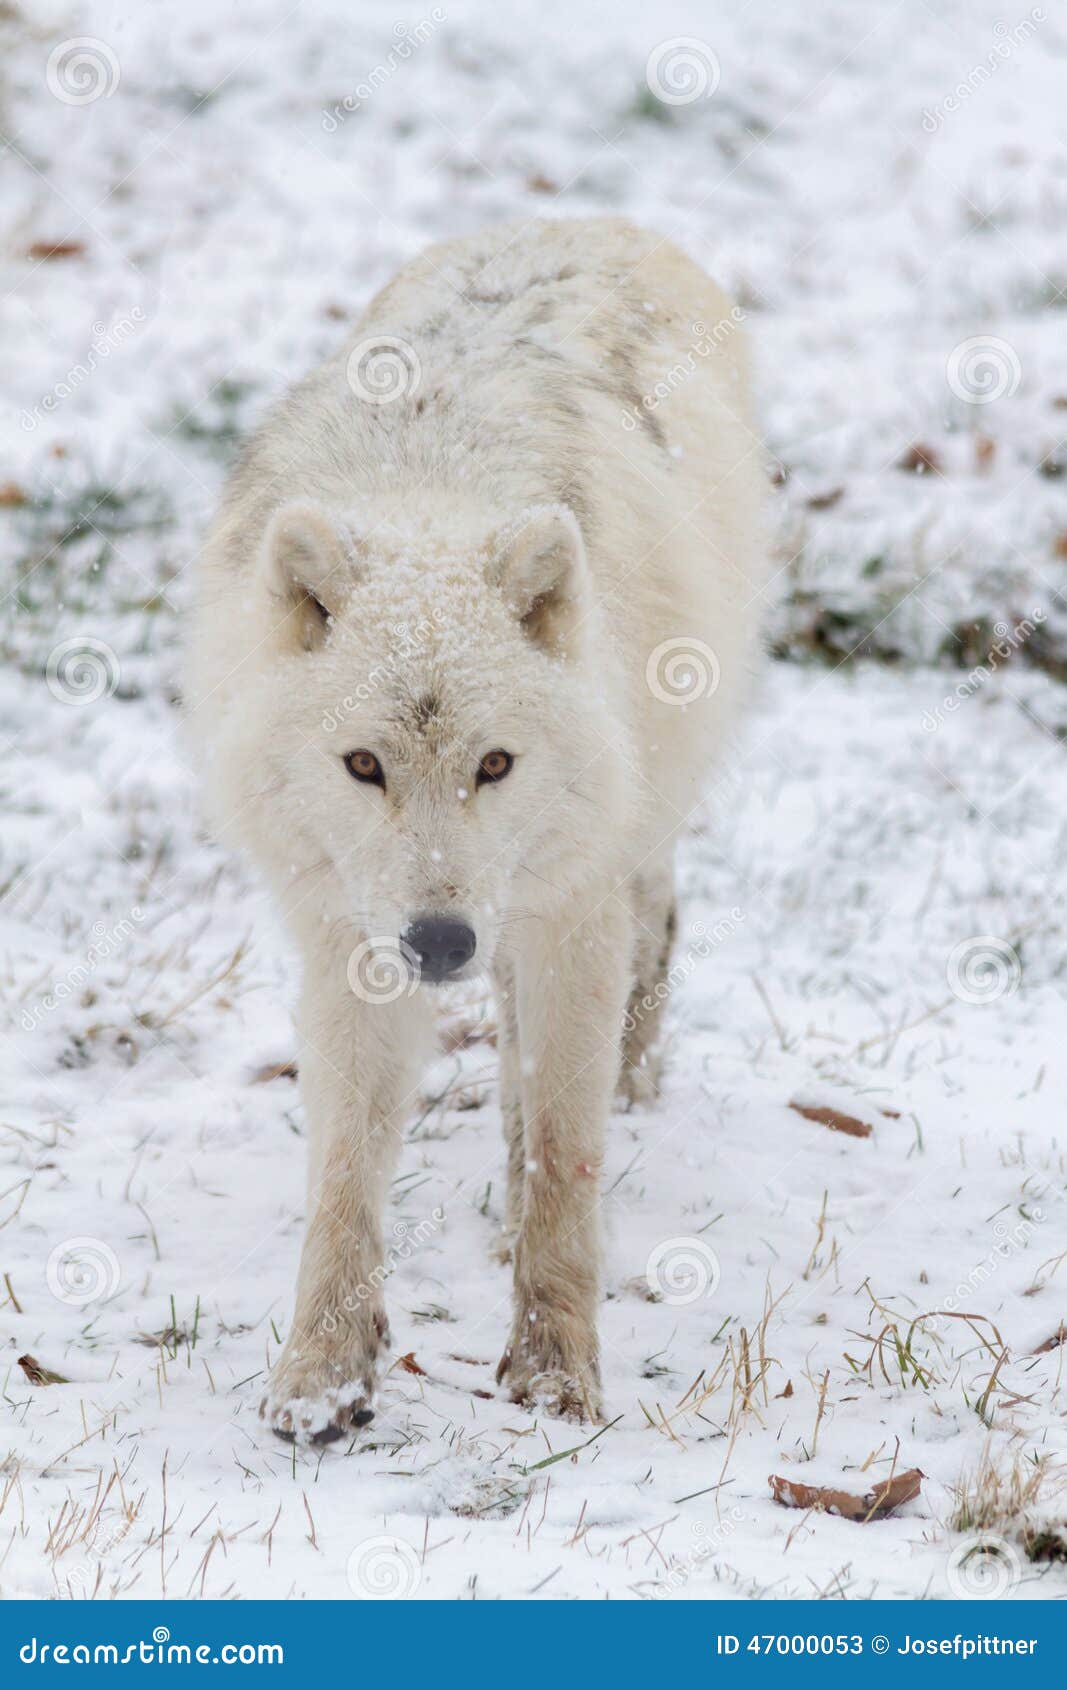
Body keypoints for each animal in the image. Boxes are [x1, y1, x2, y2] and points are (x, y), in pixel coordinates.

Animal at [185, 218, 765, 1443]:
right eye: (363, 766)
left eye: (494, 764)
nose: (440, 944)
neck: (427, 495)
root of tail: (589, 217)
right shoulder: (349, 938)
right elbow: (346, 1171)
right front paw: (322, 1377)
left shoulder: (570, 916)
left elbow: (563, 1154)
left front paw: (553, 1372)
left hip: (627, 828)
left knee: (647, 937)